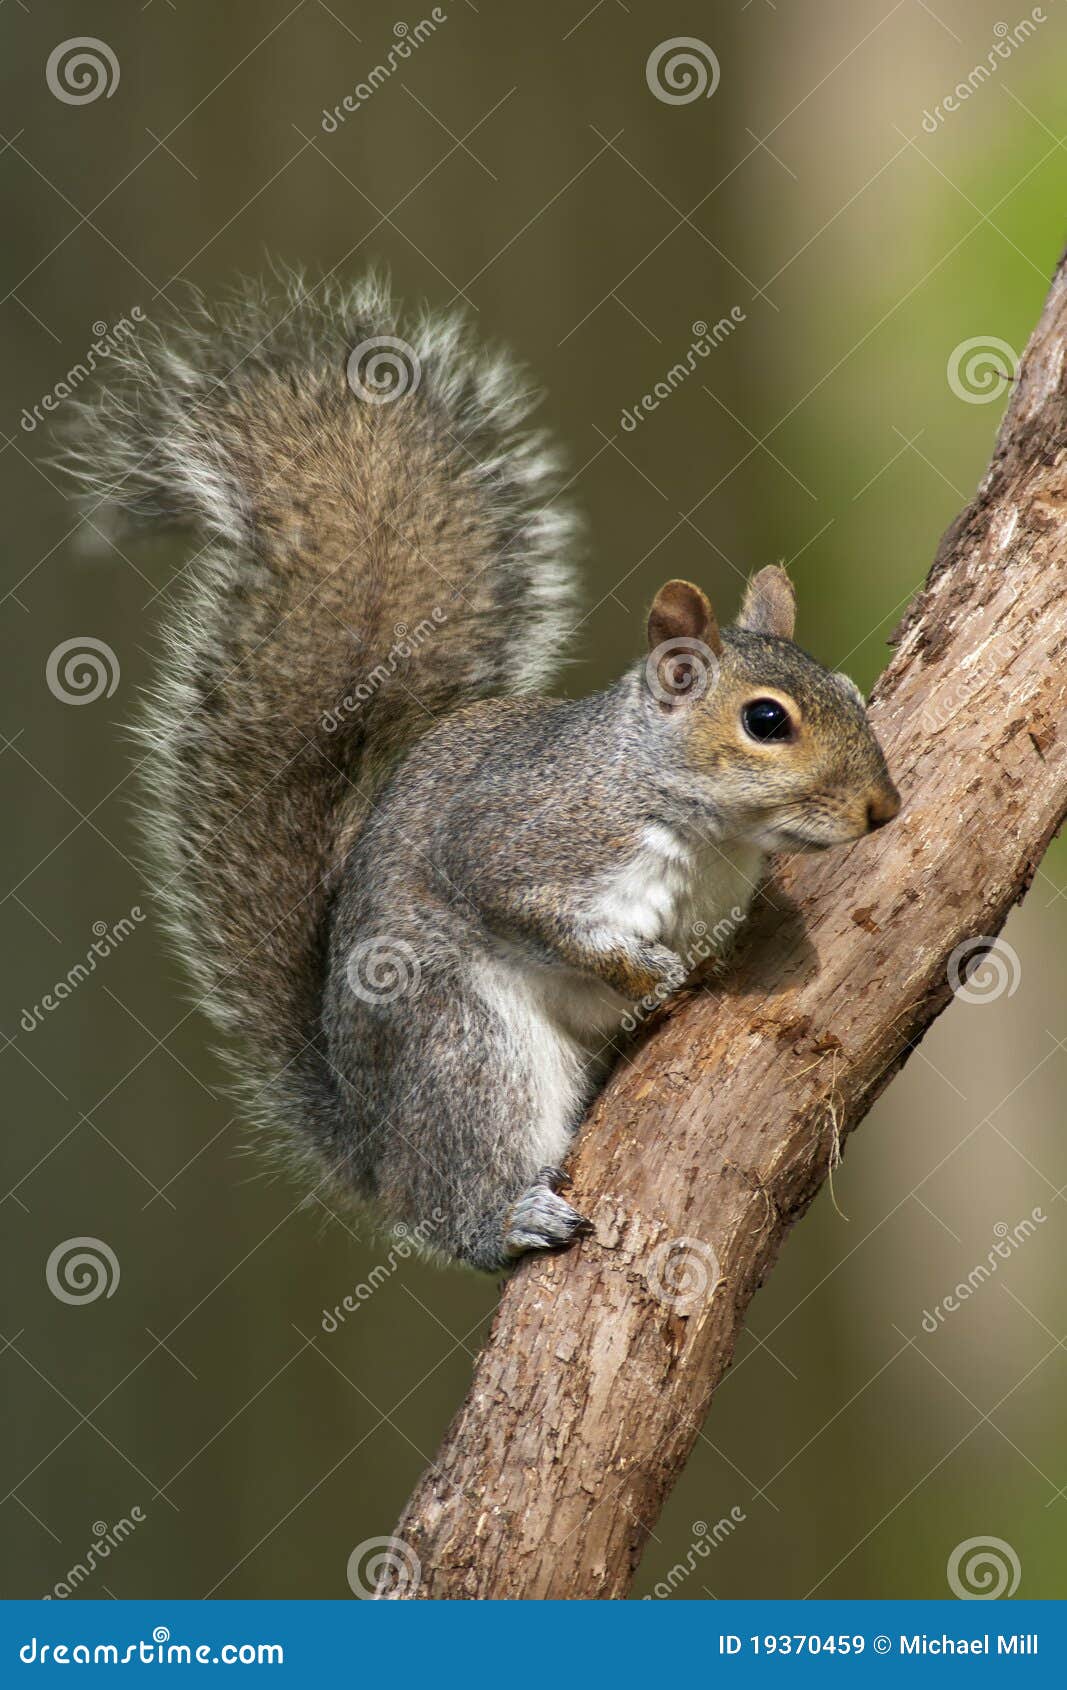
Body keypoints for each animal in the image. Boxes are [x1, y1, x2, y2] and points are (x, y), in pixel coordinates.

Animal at [63, 271, 900, 1272]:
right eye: (765, 720)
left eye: (849, 691)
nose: (883, 808)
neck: (678, 813)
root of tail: (370, 1148)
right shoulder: (524, 841)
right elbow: (542, 915)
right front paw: (646, 970)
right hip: (465, 1046)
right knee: (454, 1202)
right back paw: (507, 1217)